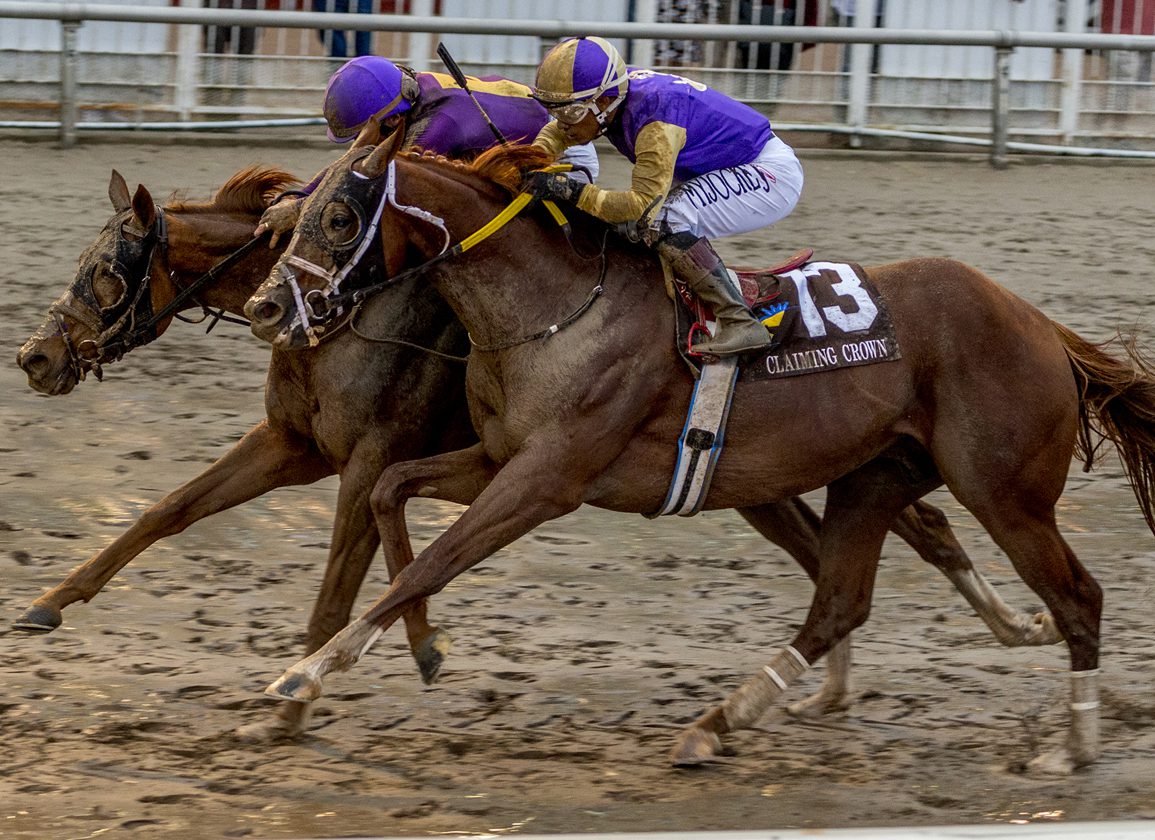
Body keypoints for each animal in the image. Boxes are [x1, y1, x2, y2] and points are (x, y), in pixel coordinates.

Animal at [15, 168, 1055, 740]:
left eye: (104, 270)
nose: (34, 357)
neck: (345, 314)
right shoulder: (292, 445)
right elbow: (168, 510)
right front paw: (48, 603)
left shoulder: (366, 458)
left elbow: (345, 577)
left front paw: (307, 690)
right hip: (751, 478)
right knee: (863, 542)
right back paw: (839, 681)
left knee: (916, 529)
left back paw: (1005, 629)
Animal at [244, 135, 1155, 774]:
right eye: (288, 220)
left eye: (338, 218)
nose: (264, 308)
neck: (556, 308)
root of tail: (1042, 326)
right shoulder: (501, 457)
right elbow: (392, 494)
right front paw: (417, 647)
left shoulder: (549, 478)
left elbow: (432, 559)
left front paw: (305, 674)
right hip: (871, 478)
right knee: (841, 599)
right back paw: (720, 723)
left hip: (1003, 490)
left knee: (1077, 595)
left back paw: (1068, 745)